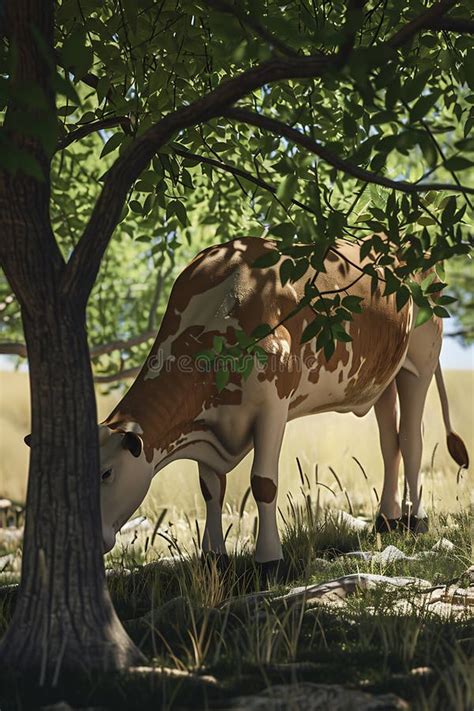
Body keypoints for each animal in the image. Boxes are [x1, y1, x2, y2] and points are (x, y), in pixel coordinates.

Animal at [96, 237, 468, 572]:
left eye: (106, 472)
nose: (97, 540)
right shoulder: (209, 423)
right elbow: (211, 489)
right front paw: (213, 557)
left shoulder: (272, 406)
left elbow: (263, 483)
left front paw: (269, 561)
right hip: (382, 379)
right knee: (390, 443)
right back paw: (387, 520)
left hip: (419, 364)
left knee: (412, 439)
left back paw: (415, 520)